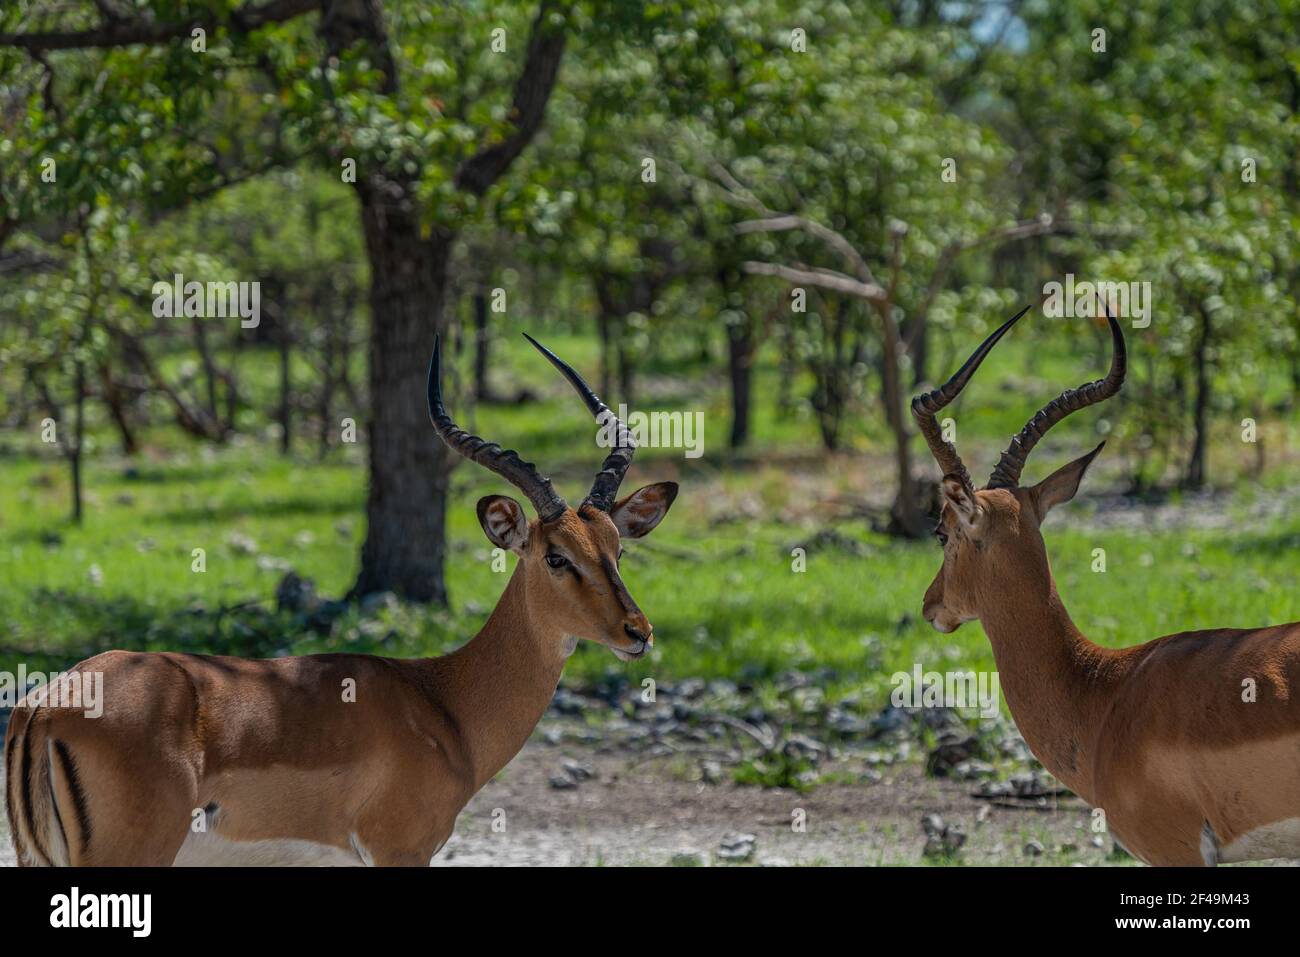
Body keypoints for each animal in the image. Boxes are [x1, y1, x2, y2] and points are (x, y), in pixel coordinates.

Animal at [4, 334, 678, 866]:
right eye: (556, 556)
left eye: (617, 548)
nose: (638, 631)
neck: (443, 703)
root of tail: (44, 708)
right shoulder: (399, 852)